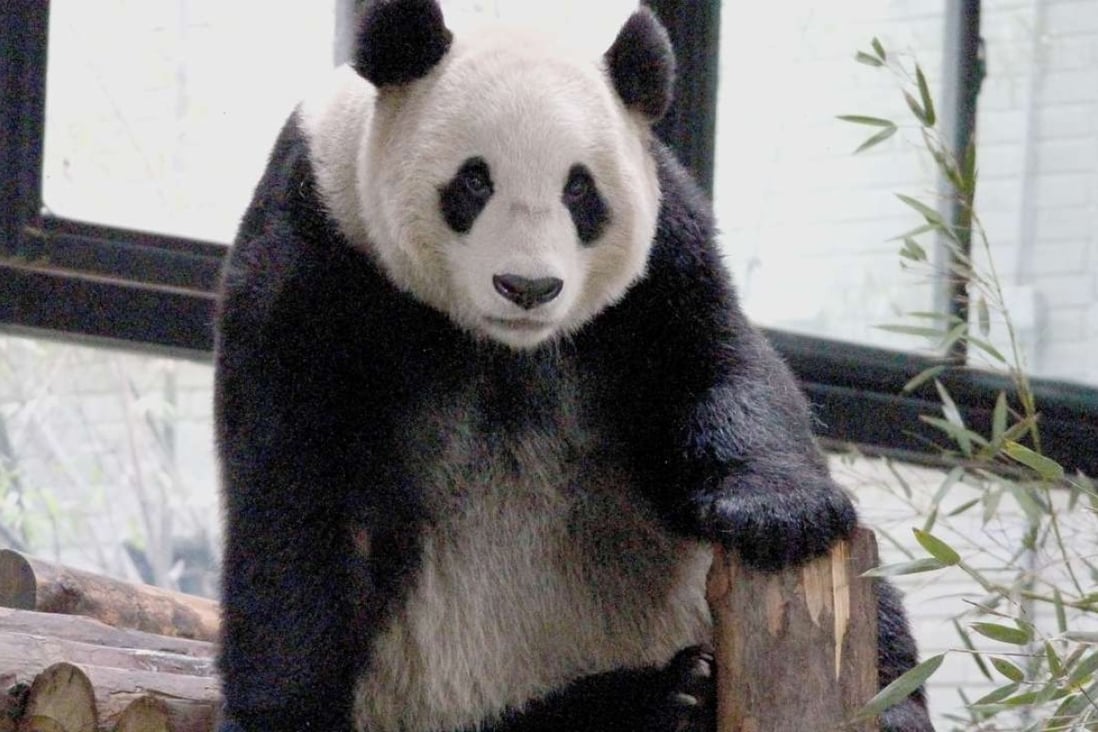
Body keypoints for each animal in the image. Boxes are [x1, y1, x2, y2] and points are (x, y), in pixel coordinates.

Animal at [213, 1, 935, 731]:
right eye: (474, 180)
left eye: (580, 190)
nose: (528, 287)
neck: (506, 345)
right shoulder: (317, 252)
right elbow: (298, 495)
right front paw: (286, 711)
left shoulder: (662, 254)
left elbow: (717, 365)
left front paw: (780, 515)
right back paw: (663, 697)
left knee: (883, 611)